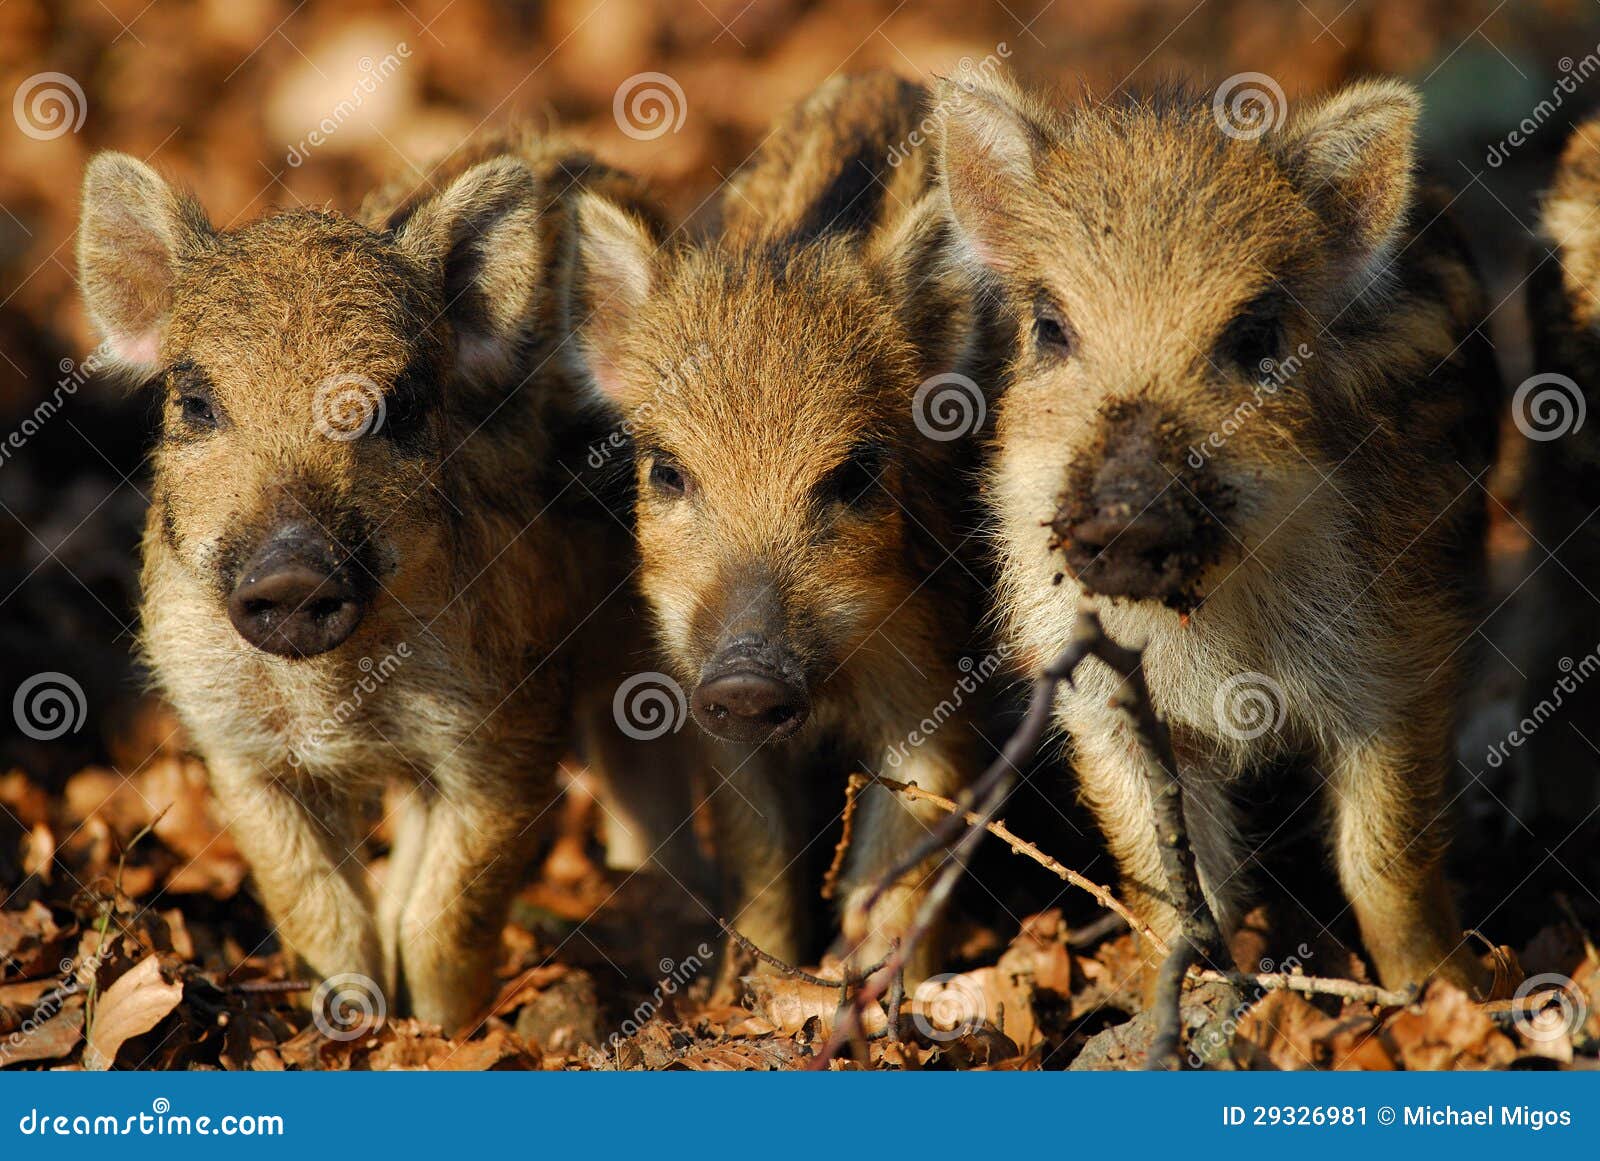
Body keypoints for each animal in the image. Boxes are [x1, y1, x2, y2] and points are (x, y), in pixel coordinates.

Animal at [76, 128, 696, 1031]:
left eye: (397, 406)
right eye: (195, 402)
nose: (293, 569)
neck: (335, 691)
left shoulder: (509, 723)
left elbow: (447, 913)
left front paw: (439, 1031)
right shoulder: (233, 742)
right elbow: (320, 908)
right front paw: (353, 1020)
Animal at [570, 73, 999, 974]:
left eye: (855, 473)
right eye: (667, 470)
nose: (747, 674)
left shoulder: (938, 682)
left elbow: (892, 861)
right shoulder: (710, 705)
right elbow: (758, 847)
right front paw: (755, 978)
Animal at [937, 73, 1499, 995]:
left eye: (1255, 336)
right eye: (1050, 326)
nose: (1126, 514)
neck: (1207, 614)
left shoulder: (1401, 660)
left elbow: (1386, 861)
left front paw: (1448, 993)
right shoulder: (1104, 702)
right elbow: (1169, 873)